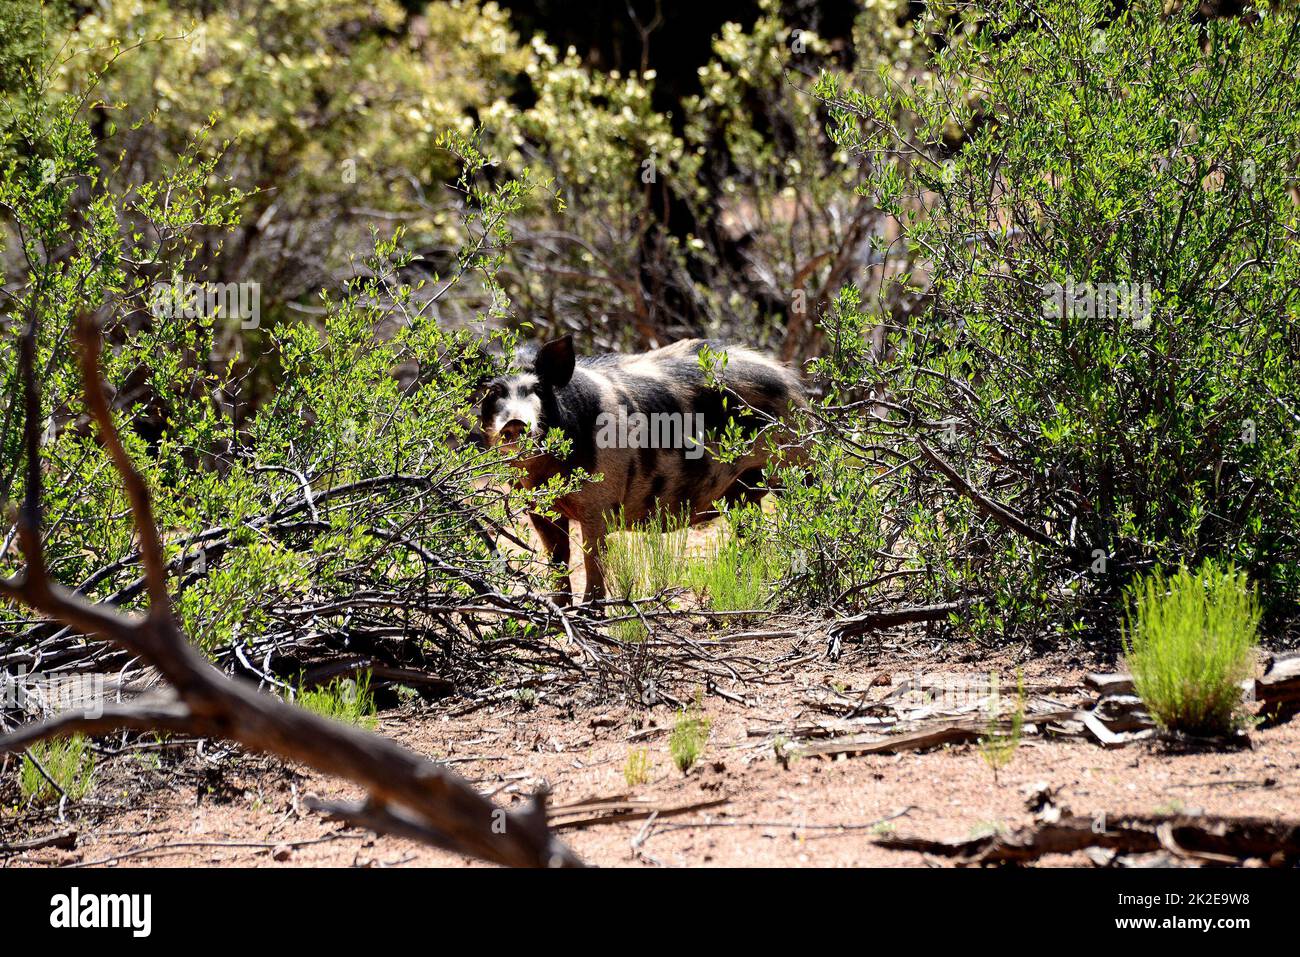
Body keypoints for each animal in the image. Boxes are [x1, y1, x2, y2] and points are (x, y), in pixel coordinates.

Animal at [478, 335, 806, 603]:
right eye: (493, 392)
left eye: (538, 389)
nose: (515, 422)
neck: (547, 472)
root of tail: (790, 382)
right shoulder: (536, 507)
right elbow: (558, 557)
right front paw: (558, 610)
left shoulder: (599, 501)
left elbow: (592, 555)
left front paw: (591, 613)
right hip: (741, 492)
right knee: (751, 534)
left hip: (795, 464)